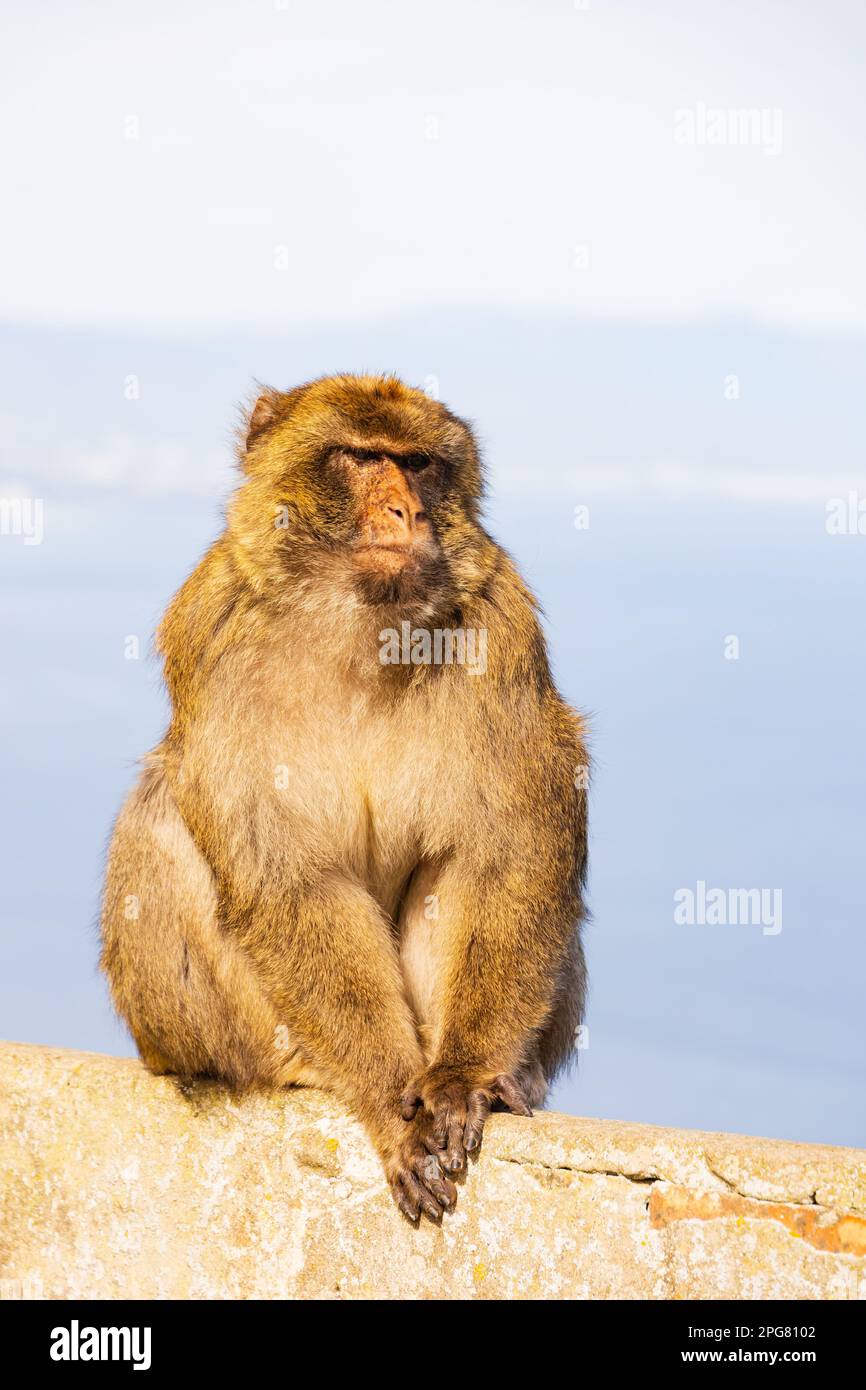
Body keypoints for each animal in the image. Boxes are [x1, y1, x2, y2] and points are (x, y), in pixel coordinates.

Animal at [100, 373, 589, 1224]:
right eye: (361, 458)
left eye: (419, 464)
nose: (407, 512)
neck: (363, 624)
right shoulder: (216, 631)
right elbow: (292, 881)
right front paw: (392, 1099)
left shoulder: (499, 622)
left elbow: (508, 854)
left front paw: (462, 1078)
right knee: (159, 814)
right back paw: (305, 1064)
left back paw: (503, 1075)